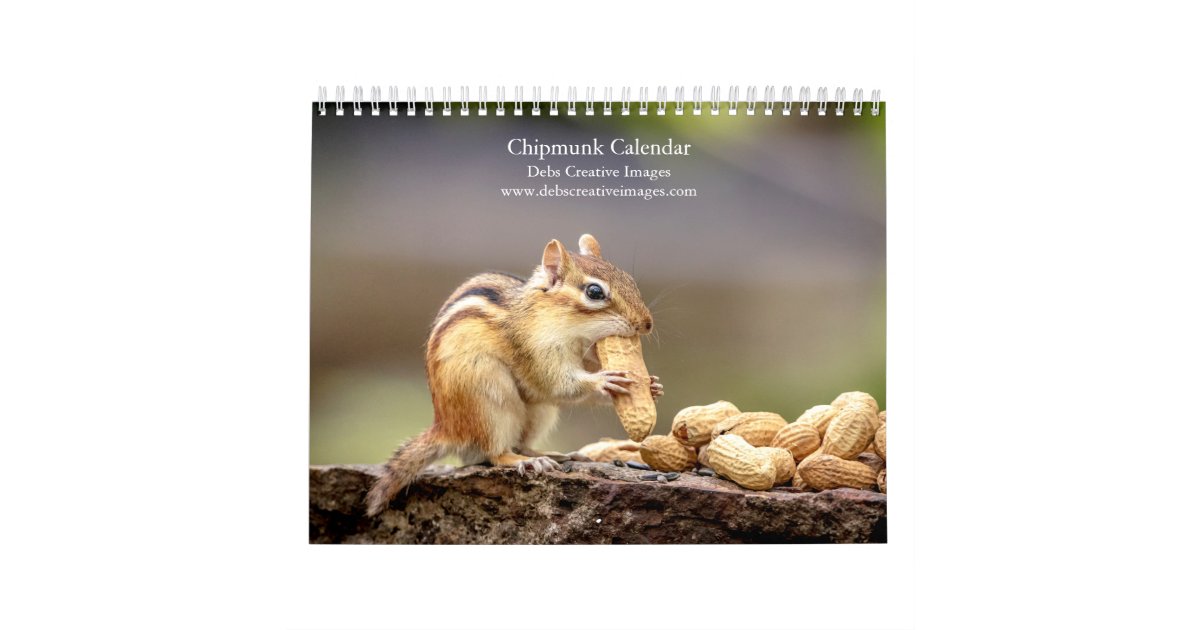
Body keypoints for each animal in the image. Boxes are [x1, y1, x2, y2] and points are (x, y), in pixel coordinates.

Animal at [365, 233, 663, 516]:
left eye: (630, 280)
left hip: (539, 412)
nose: (647, 324)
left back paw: (550, 454)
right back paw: (525, 461)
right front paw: (604, 381)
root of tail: (446, 428)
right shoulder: (535, 350)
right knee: (496, 453)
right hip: (489, 400)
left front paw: (652, 386)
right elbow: (559, 384)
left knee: (522, 442)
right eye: (594, 292)